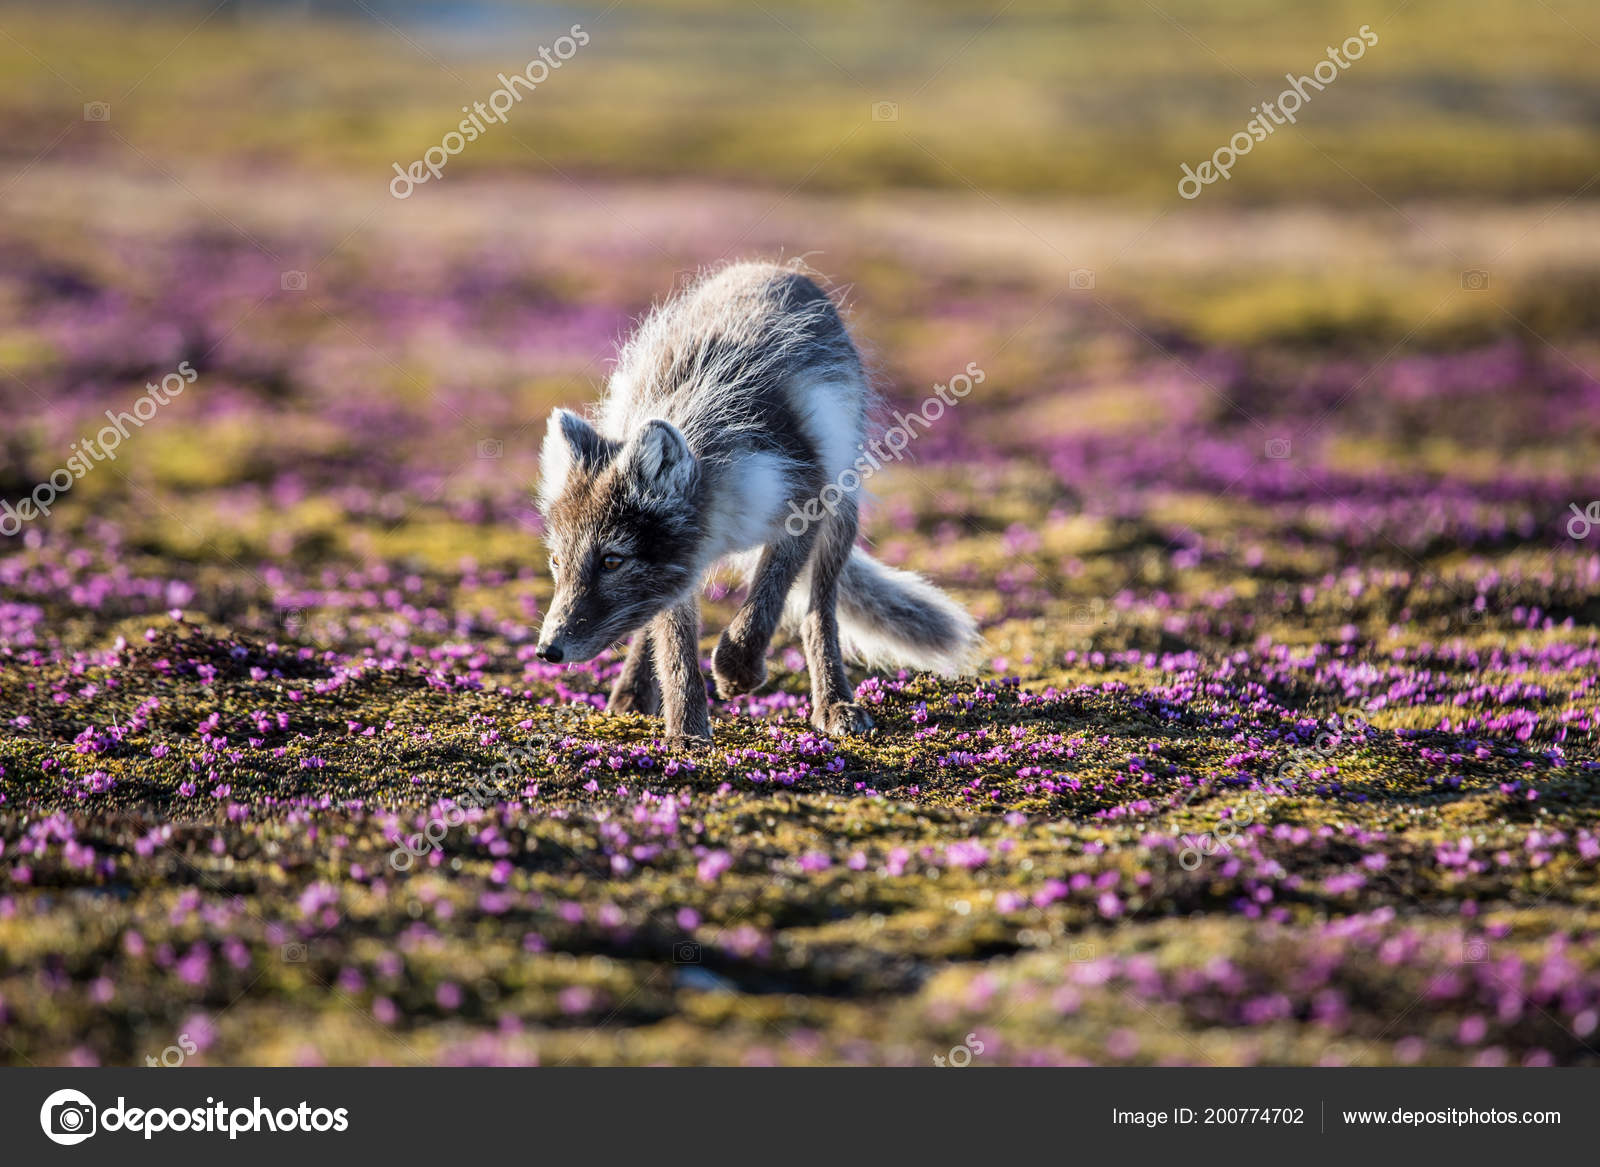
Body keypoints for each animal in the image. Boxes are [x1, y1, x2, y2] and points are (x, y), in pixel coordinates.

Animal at [534, 261, 980, 742]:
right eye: (557, 562)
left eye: (612, 561)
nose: (546, 651)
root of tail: (774, 268)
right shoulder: (683, 565)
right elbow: (674, 647)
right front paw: (687, 733)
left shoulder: (805, 502)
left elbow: (766, 601)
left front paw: (736, 672)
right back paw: (632, 694)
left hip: (842, 513)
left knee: (819, 612)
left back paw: (834, 702)